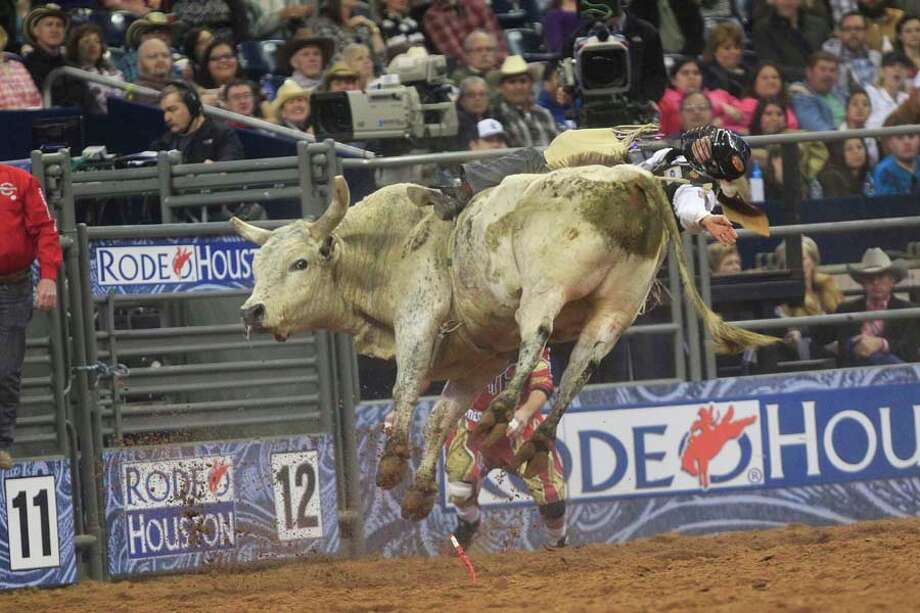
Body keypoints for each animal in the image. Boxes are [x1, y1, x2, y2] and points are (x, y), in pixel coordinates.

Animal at [232, 164, 776, 521]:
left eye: (300, 263)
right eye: (256, 264)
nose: (252, 312)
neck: (391, 244)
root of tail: (630, 178)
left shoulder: (419, 319)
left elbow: (407, 387)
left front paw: (390, 463)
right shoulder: (477, 360)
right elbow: (440, 419)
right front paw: (420, 493)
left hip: (544, 290)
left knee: (536, 339)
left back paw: (499, 417)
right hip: (616, 309)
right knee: (579, 368)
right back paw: (534, 439)